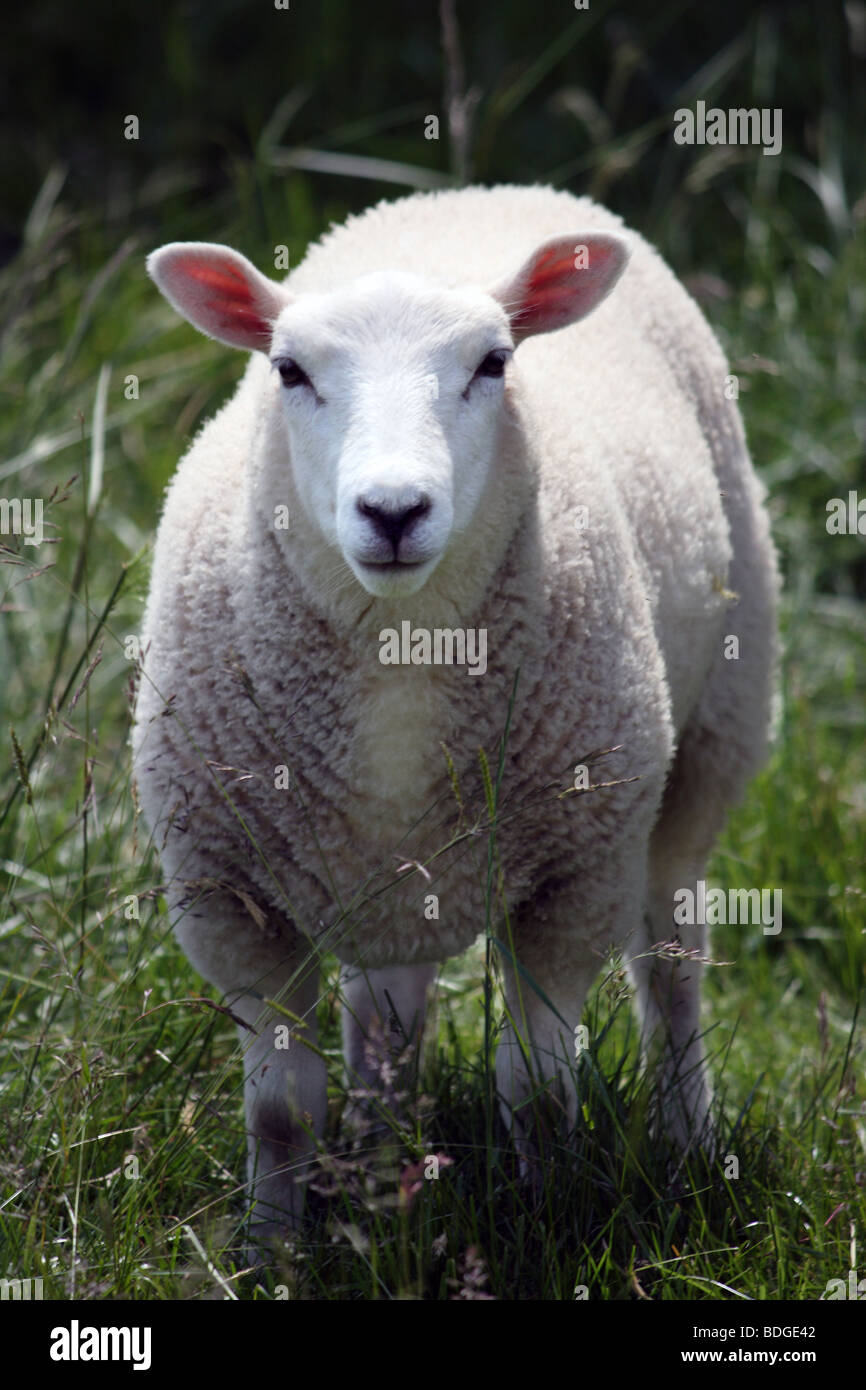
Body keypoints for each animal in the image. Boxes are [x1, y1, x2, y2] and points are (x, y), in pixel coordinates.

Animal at [133, 183, 779, 1253]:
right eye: (288, 370)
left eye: (494, 364)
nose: (393, 510)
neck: (402, 651)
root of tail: (477, 190)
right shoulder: (230, 895)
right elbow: (281, 1108)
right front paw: (270, 1252)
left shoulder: (571, 879)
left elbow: (540, 1093)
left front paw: (546, 1227)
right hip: (388, 871)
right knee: (386, 1010)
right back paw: (375, 1165)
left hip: (713, 734)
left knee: (675, 960)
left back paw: (687, 1133)